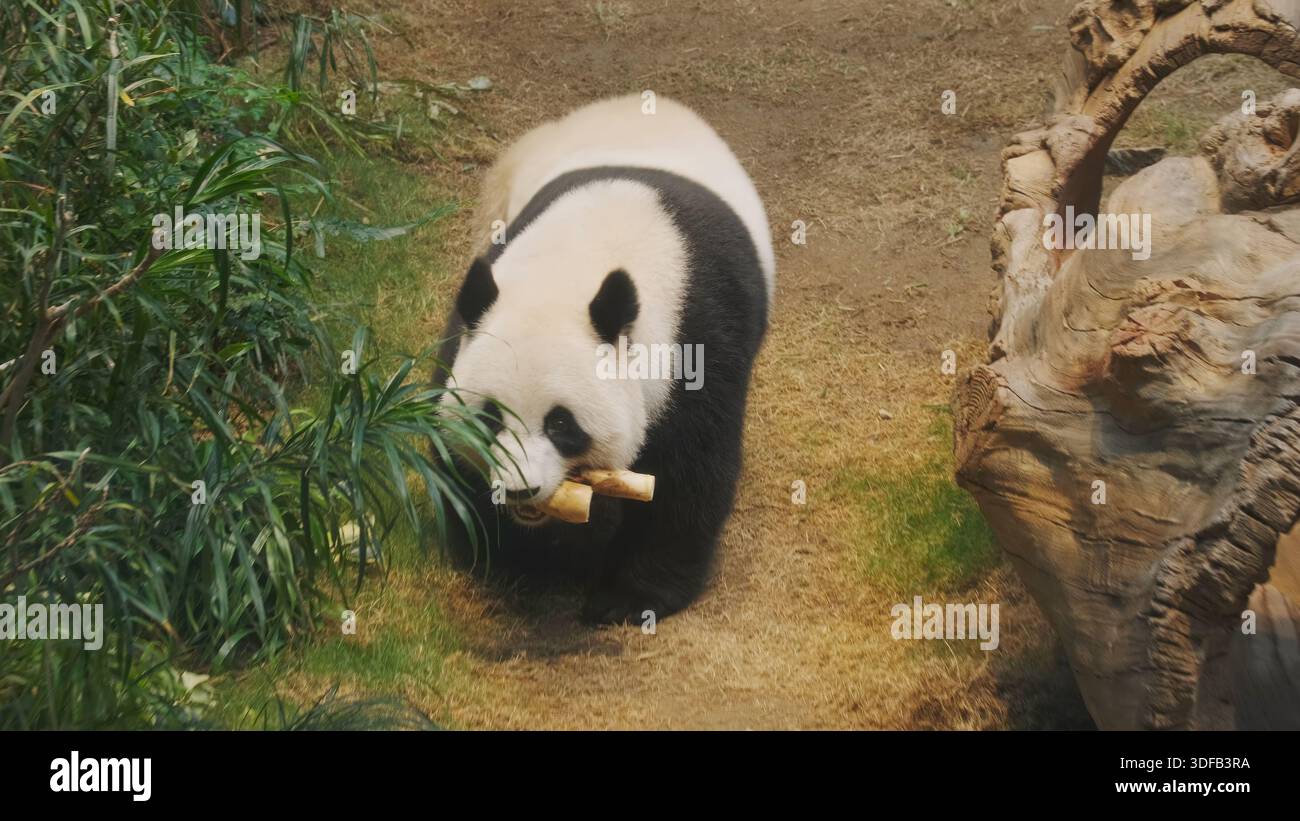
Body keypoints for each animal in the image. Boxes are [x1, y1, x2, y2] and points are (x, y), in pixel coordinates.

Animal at [436, 93, 774, 624]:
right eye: (489, 418)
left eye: (561, 424)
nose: (520, 491)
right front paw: (515, 562)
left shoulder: (700, 341)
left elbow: (689, 478)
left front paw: (633, 598)